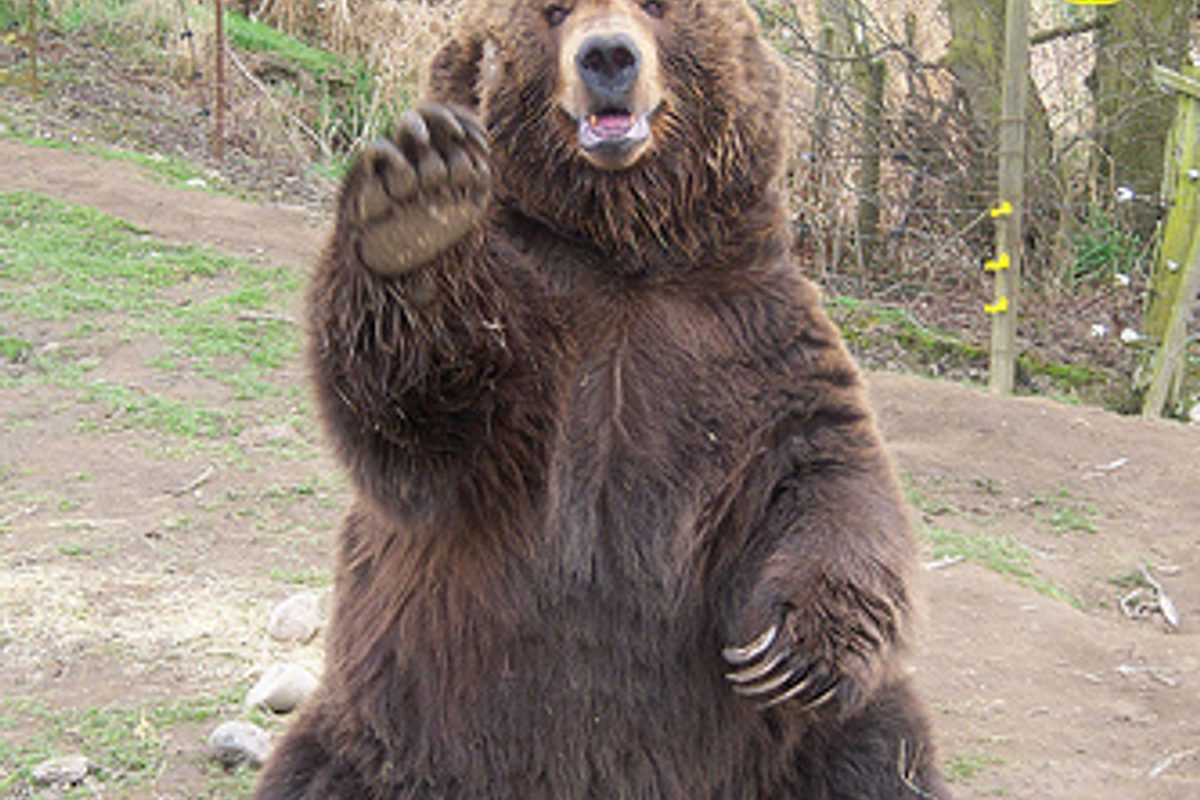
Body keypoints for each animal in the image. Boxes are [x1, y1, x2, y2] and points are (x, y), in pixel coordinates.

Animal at [254, 0, 949, 798]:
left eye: (659, 8)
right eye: (552, 14)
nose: (609, 56)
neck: (623, 251)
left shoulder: (753, 334)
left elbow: (825, 472)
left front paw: (789, 652)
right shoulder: (541, 342)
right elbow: (427, 418)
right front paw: (415, 212)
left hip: (788, 748)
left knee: (879, 749)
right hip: (394, 728)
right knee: (322, 766)